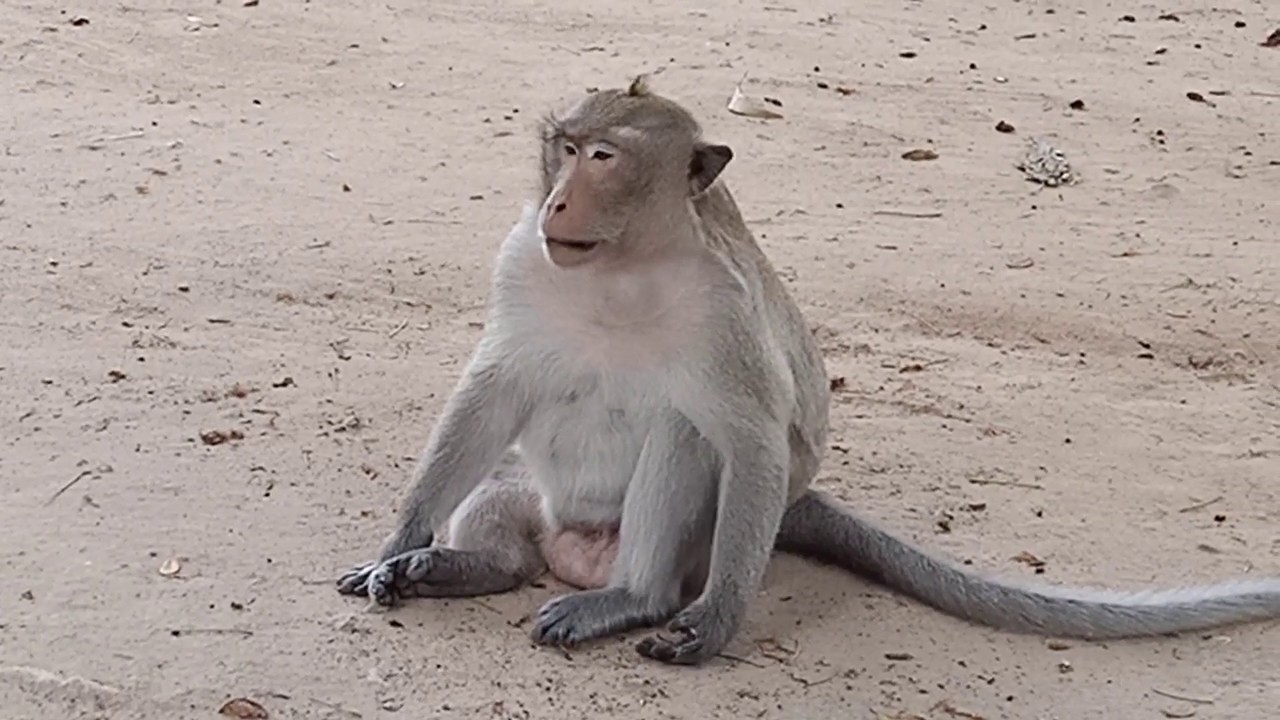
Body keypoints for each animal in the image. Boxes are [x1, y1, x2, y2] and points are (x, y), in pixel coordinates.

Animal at [337, 76, 1280, 665]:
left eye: (604, 157)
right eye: (562, 148)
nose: (559, 199)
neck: (624, 266)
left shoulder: (722, 312)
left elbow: (754, 436)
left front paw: (716, 621)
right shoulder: (521, 261)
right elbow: (493, 392)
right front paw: (398, 544)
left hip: (698, 539)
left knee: (687, 439)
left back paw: (632, 595)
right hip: (540, 502)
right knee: (508, 487)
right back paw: (463, 567)